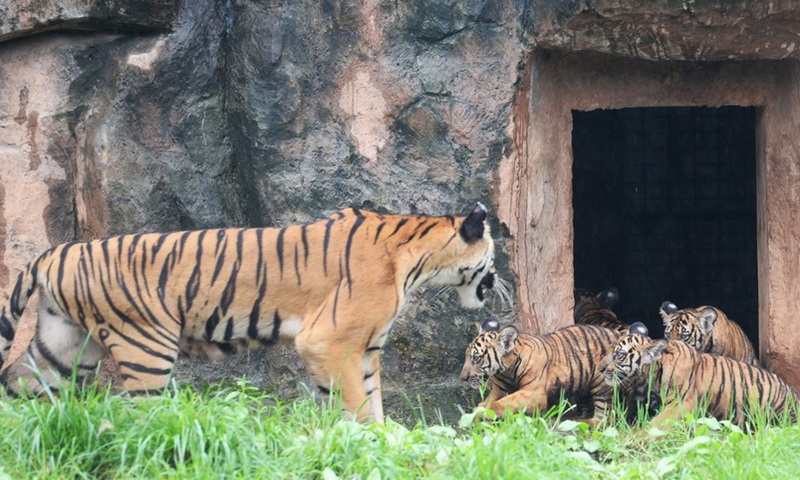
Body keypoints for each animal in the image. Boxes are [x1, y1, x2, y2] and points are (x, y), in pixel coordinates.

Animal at [0, 203, 496, 423]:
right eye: (493, 255)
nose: (497, 282)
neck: (418, 261)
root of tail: (53, 253)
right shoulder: (329, 340)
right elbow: (357, 405)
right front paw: (369, 443)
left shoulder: (364, 350)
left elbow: (361, 400)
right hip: (145, 347)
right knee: (138, 414)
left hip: (63, 346)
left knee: (19, 381)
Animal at [460, 318, 646, 427]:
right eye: (467, 356)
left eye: (476, 358)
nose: (463, 378)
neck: (507, 370)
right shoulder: (499, 389)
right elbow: (488, 401)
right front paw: (475, 414)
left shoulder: (534, 393)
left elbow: (507, 401)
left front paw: (485, 412)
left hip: (603, 383)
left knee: (603, 419)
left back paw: (578, 422)